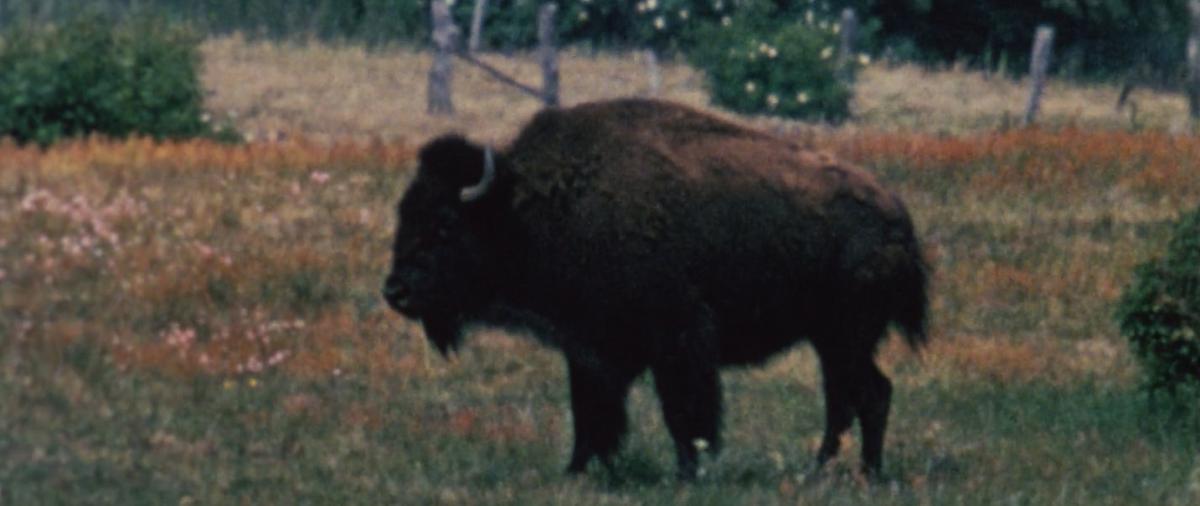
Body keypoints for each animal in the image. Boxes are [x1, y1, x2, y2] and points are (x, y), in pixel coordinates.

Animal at [383, 98, 928, 480]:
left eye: (445, 225)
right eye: (405, 214)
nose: (395, 292)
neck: (522, 209)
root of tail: (896, 215)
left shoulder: (679, 341)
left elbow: (684, 412)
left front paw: (688, 472)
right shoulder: (589, 350)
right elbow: (591, 413)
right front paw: (577, 470)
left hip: (844, 336)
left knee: (867, 394)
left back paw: (859, 473)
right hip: (830, 340)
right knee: (850, 397)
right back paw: (826, 470)